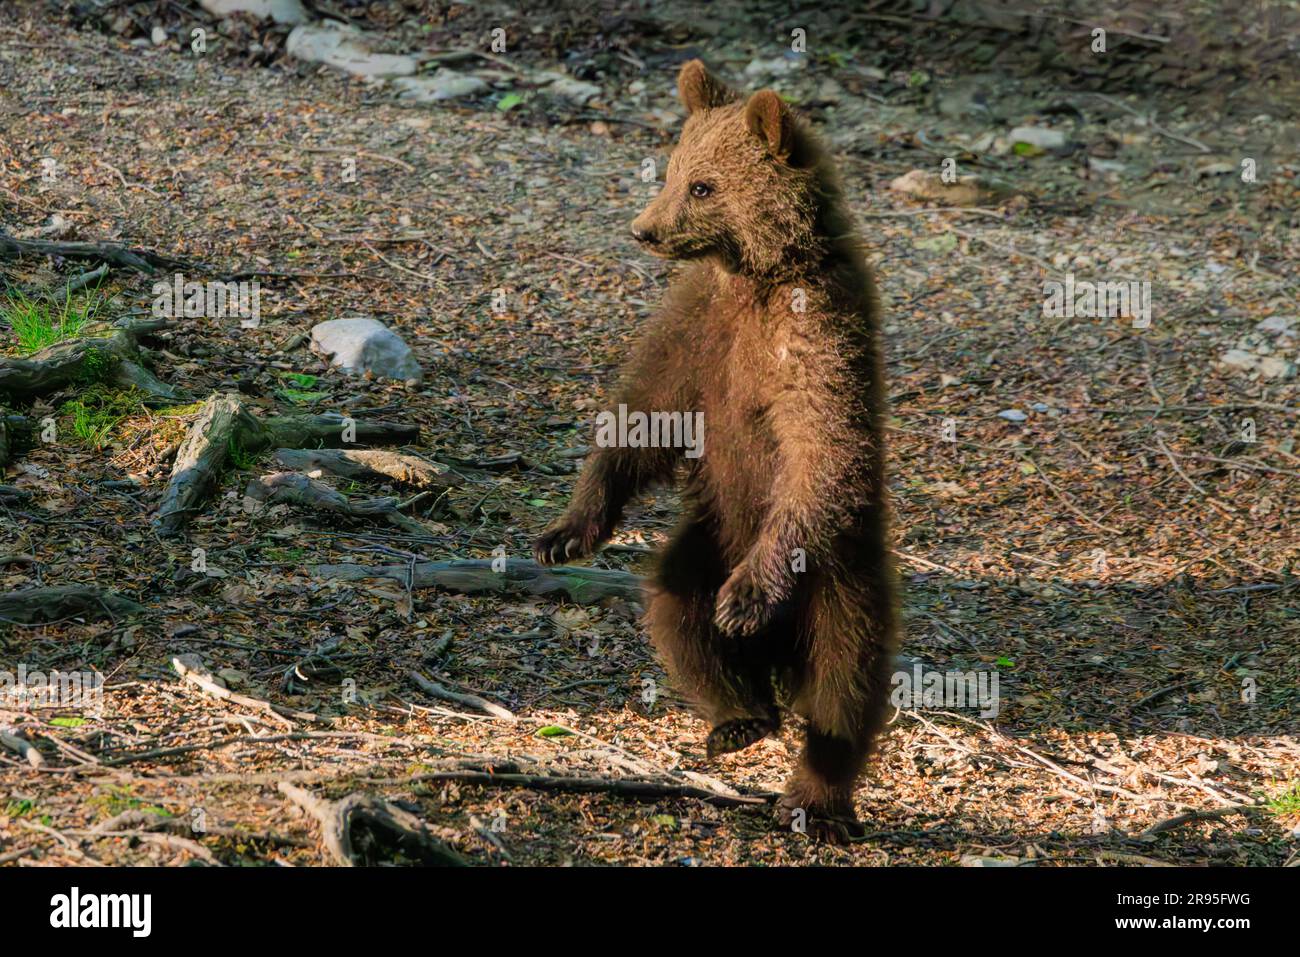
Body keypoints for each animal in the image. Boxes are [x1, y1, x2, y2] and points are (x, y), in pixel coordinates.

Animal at [535, 59, 897, 843]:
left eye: (704, 185)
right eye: (674, 169)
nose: (645, 229)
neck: (758, 275)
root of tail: (779, 654)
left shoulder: (815, 339)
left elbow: (822, 446)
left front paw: (749, 595)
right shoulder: (700, 331)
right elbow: (643, 414)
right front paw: (567, 530)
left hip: (841, 575)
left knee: (844, 682)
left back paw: (817, 799)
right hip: (708, 539)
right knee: (678, 610)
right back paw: (739, 716)